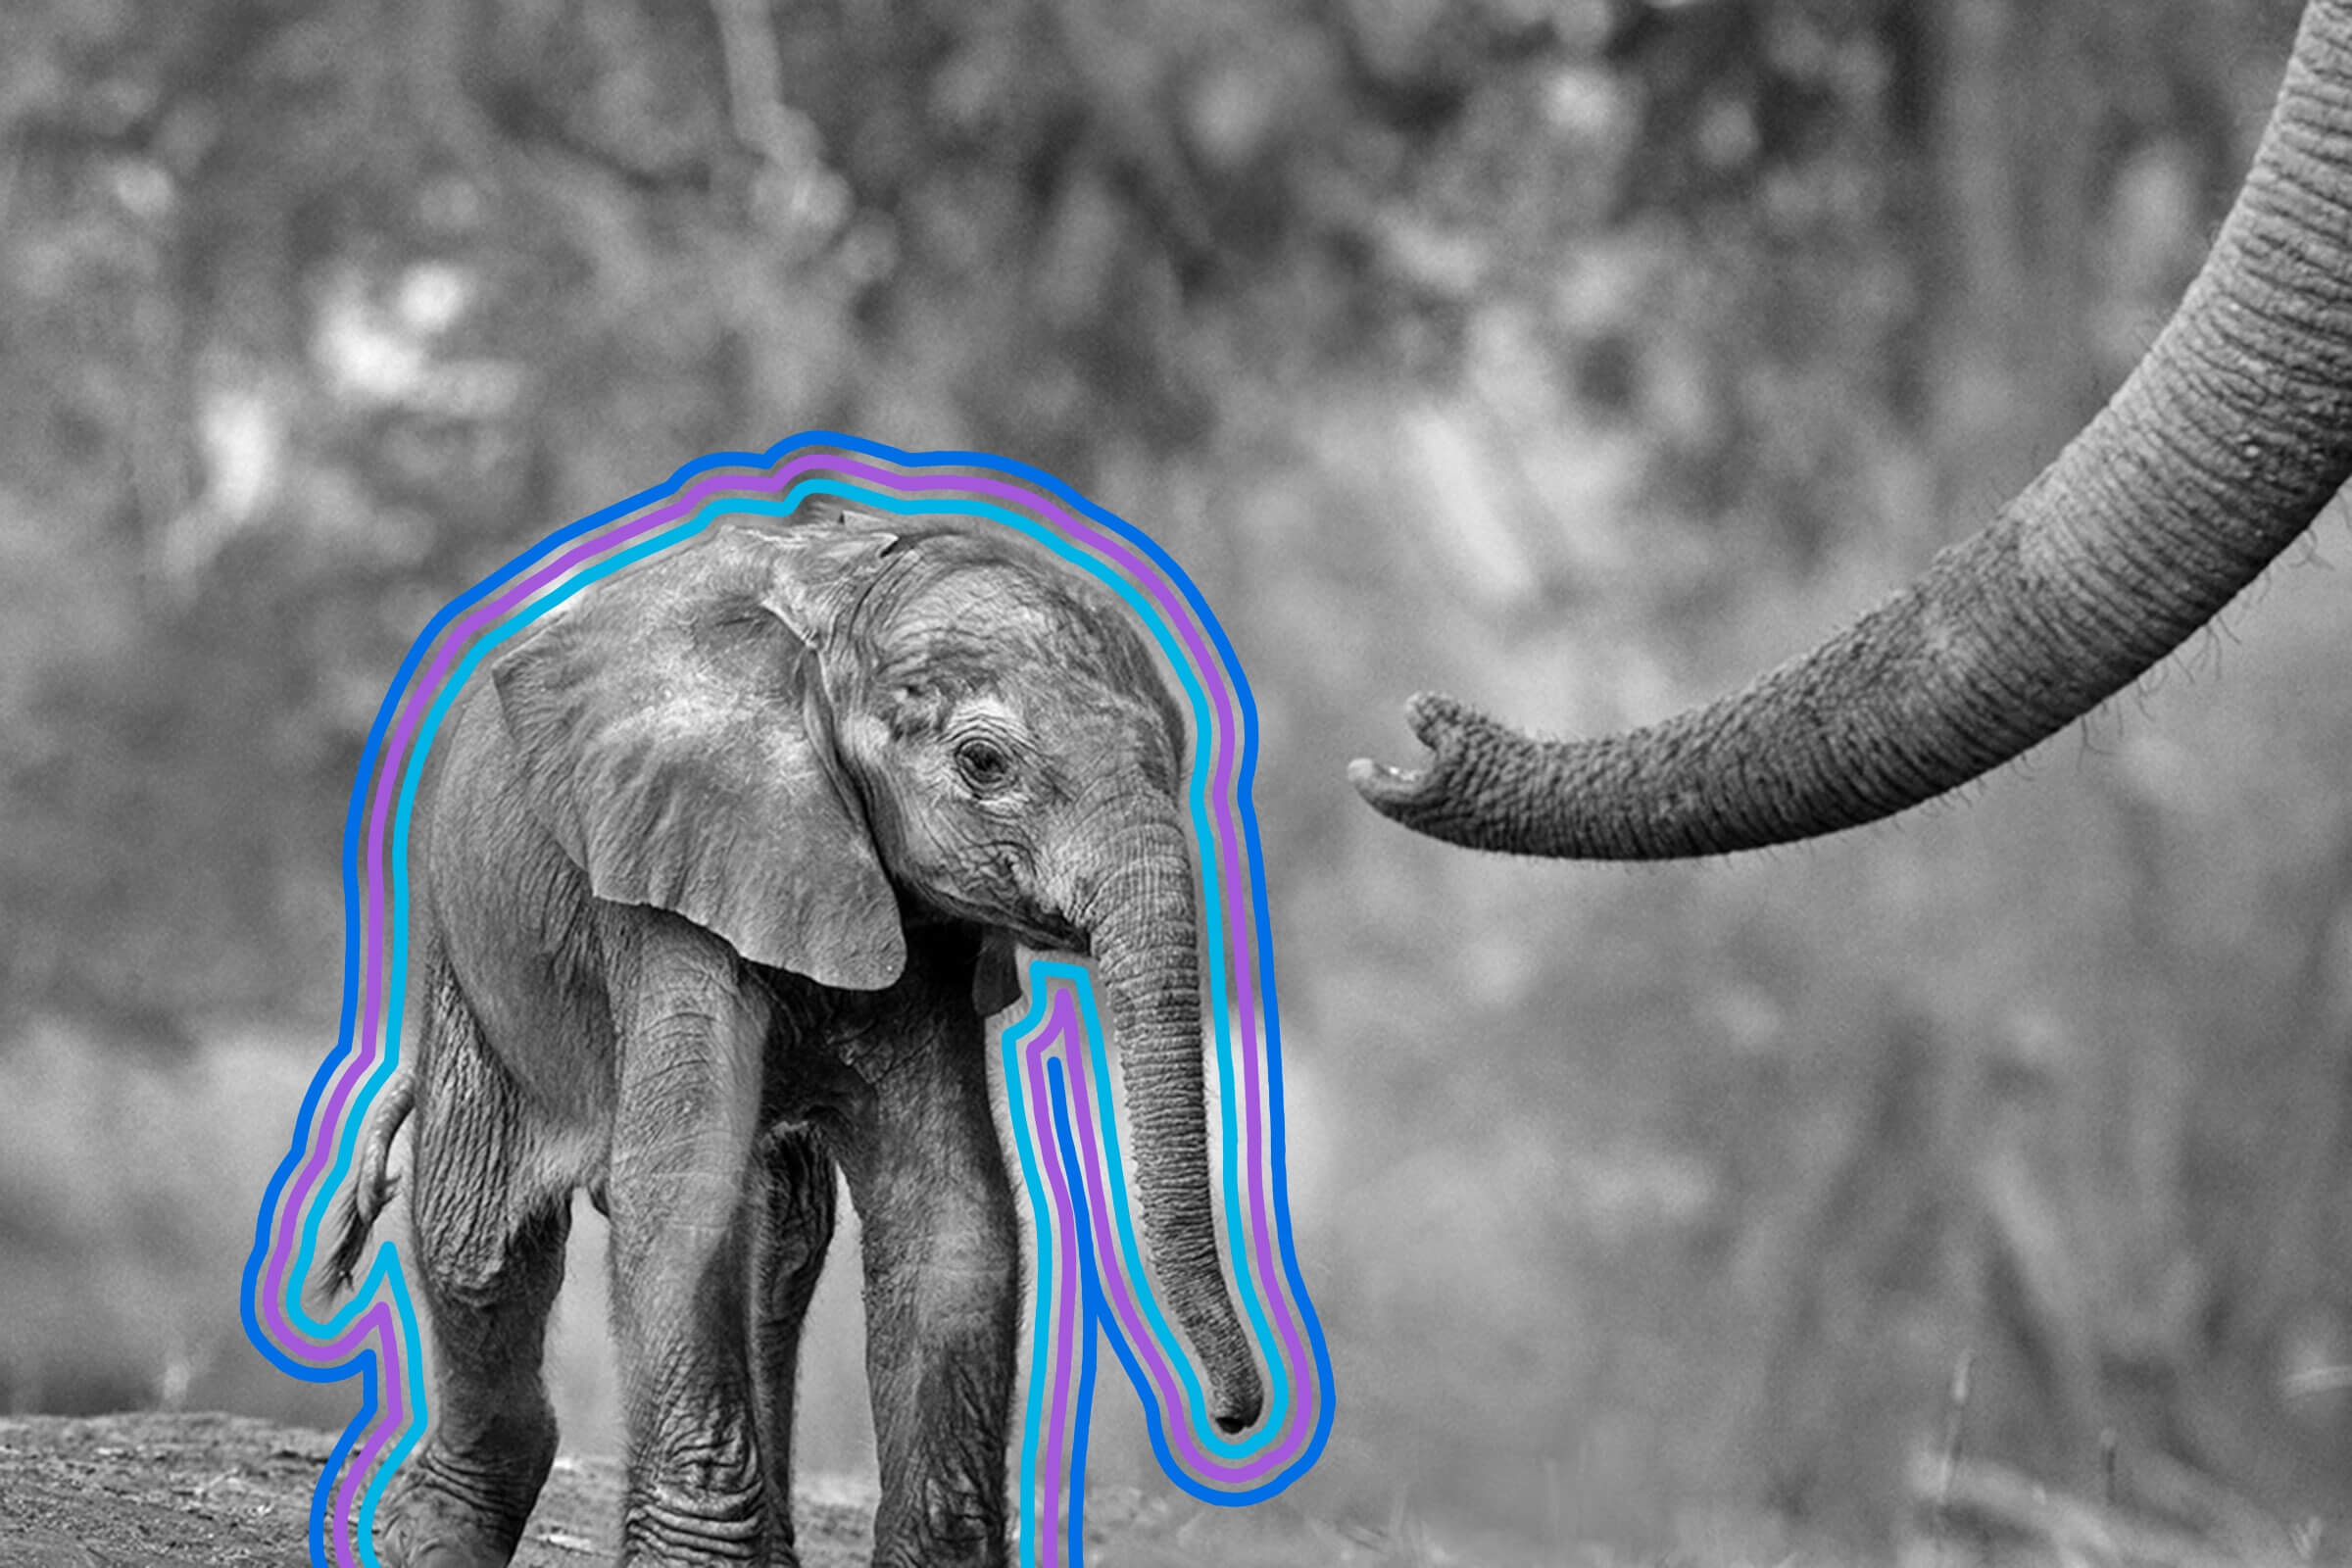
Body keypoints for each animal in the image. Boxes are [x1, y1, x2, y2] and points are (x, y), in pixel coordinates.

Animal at [322, 504, 1264, 1567]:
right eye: (985, 764)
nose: (1232, 1417)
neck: (841, 627)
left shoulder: (925, 934)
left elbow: (952, 1213)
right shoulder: (671, 865)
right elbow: (683, 1185)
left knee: (781, 1243)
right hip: (468, 934)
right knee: (478, 1232)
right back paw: (427, 1541)